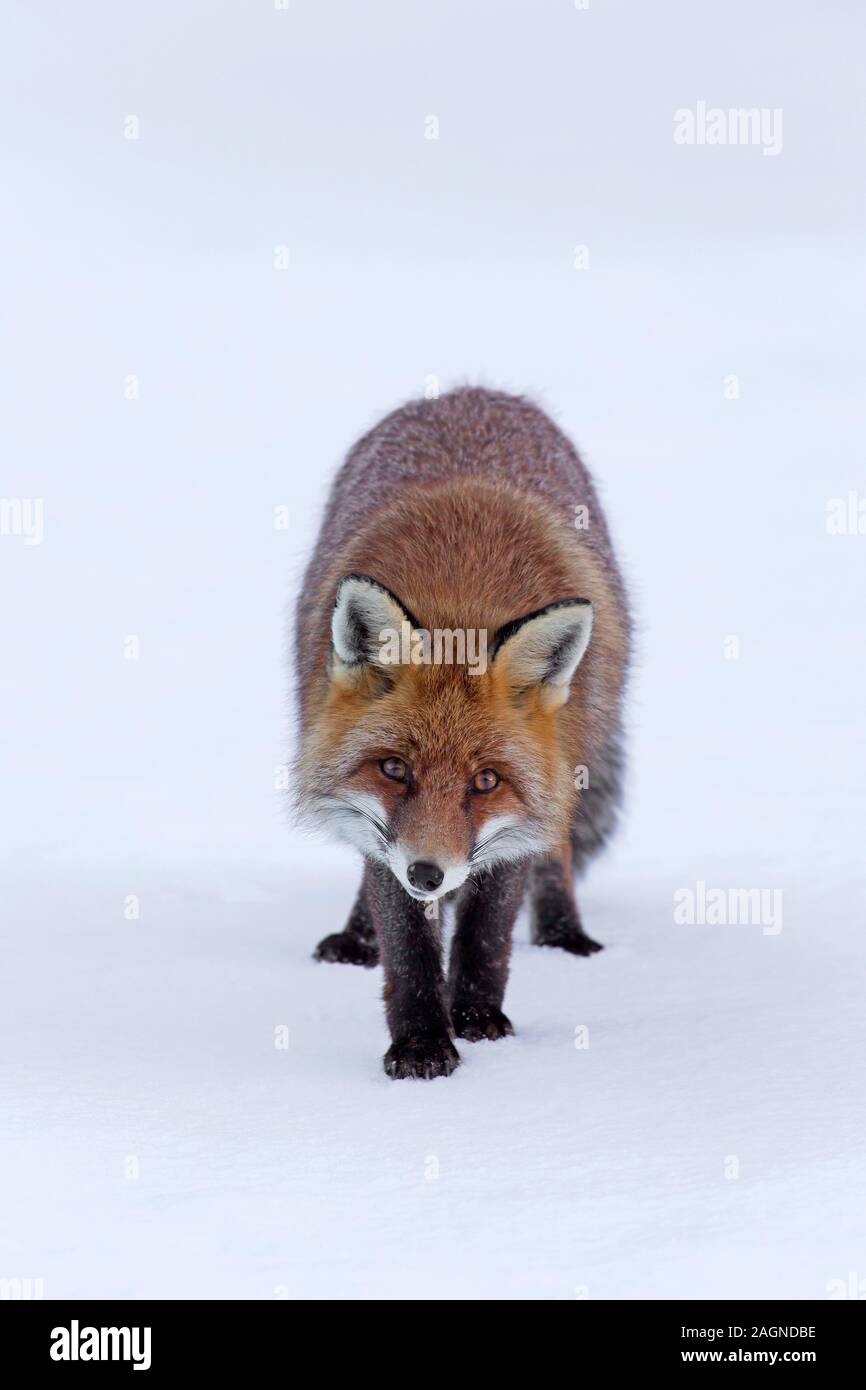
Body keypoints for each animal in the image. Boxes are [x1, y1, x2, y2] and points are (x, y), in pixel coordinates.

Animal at [294, 386, 631, 1079]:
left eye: (486, 781)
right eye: (394, 769)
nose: (428, 874)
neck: (462, 599)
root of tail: (472, 391)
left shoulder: (515, 817)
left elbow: (487, 929)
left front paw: (477, 1018)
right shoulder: (390, 841)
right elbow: (406, 945)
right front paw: (422, 1043)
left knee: (556, 851)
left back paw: (563, 934)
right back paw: (356, 936)